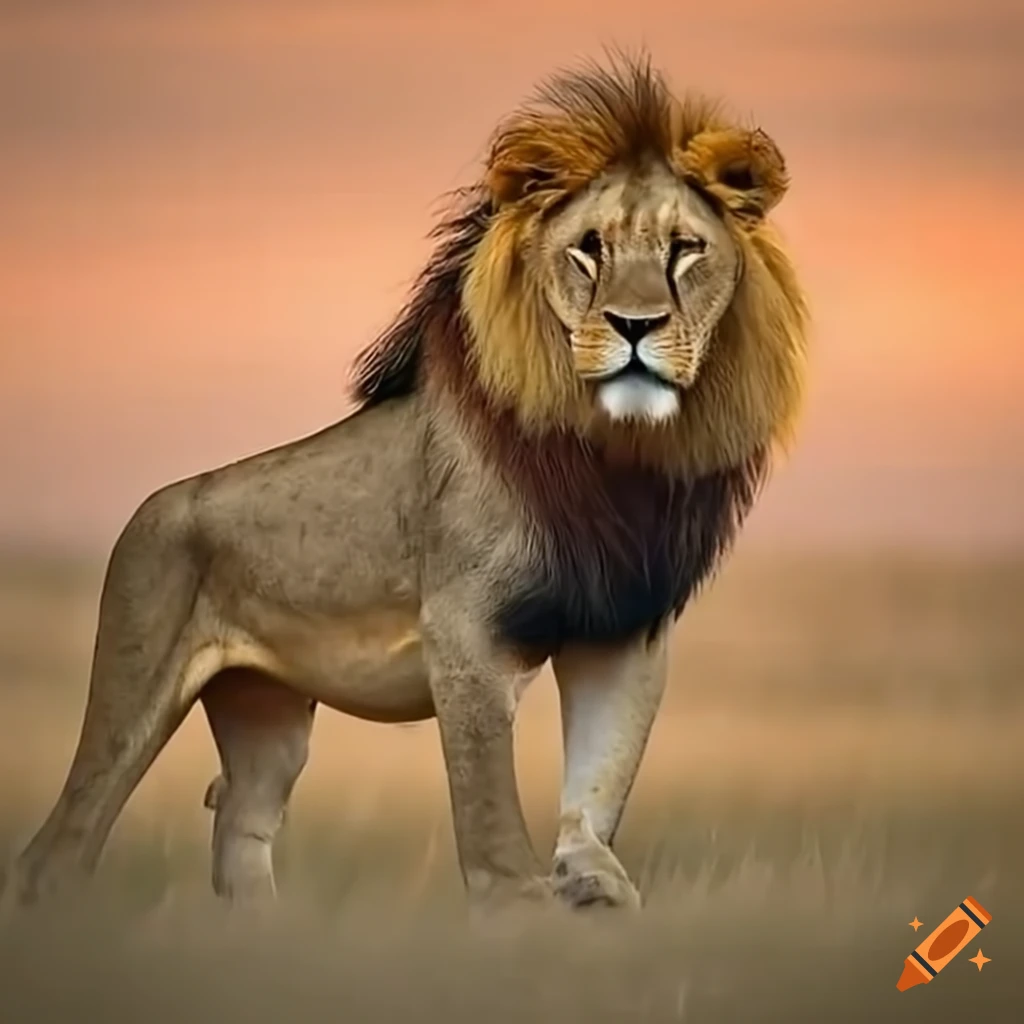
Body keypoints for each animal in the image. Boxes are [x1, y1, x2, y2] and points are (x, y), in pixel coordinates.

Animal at [6, 54, 808, 913]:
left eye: (685, 250)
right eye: (587, 250)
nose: (635, 326)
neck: (616, 454)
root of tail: (150, 506)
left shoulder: (623, 629)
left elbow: (600, 781)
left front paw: (594, 883)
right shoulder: (463, 628)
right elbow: (488, 808)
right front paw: (523, 908)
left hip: (266, 713)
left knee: (242, 833)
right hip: (136, 676)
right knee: (61, 845)